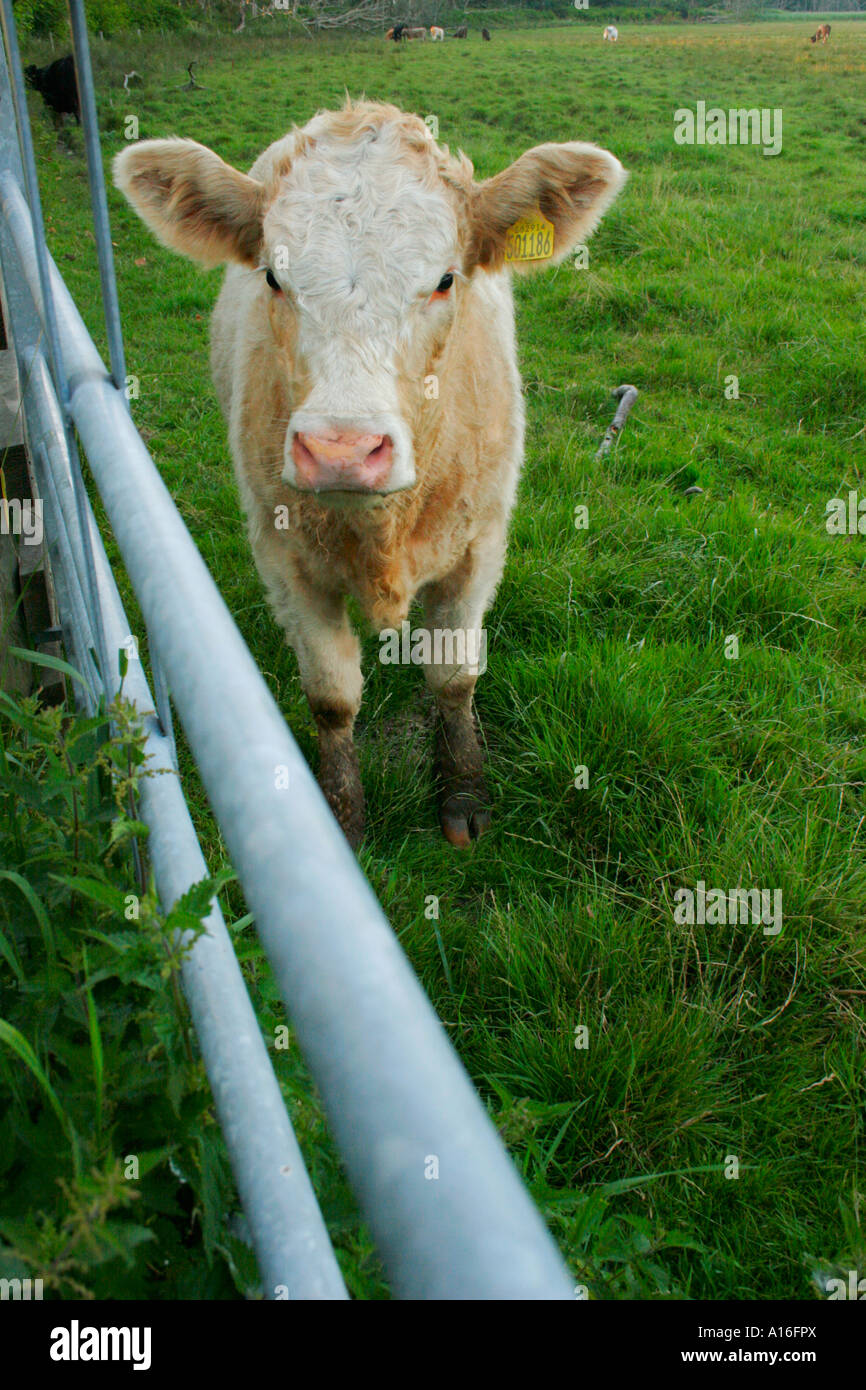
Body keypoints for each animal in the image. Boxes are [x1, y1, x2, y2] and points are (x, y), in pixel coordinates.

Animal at [114, 101, 625, 847]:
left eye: (445, 279)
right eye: (273, 277)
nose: (342, 450)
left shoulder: (478, 548)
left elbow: (452, 678)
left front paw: (463, 793)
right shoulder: (285, 560)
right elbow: (331, 697)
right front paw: (343, 816)